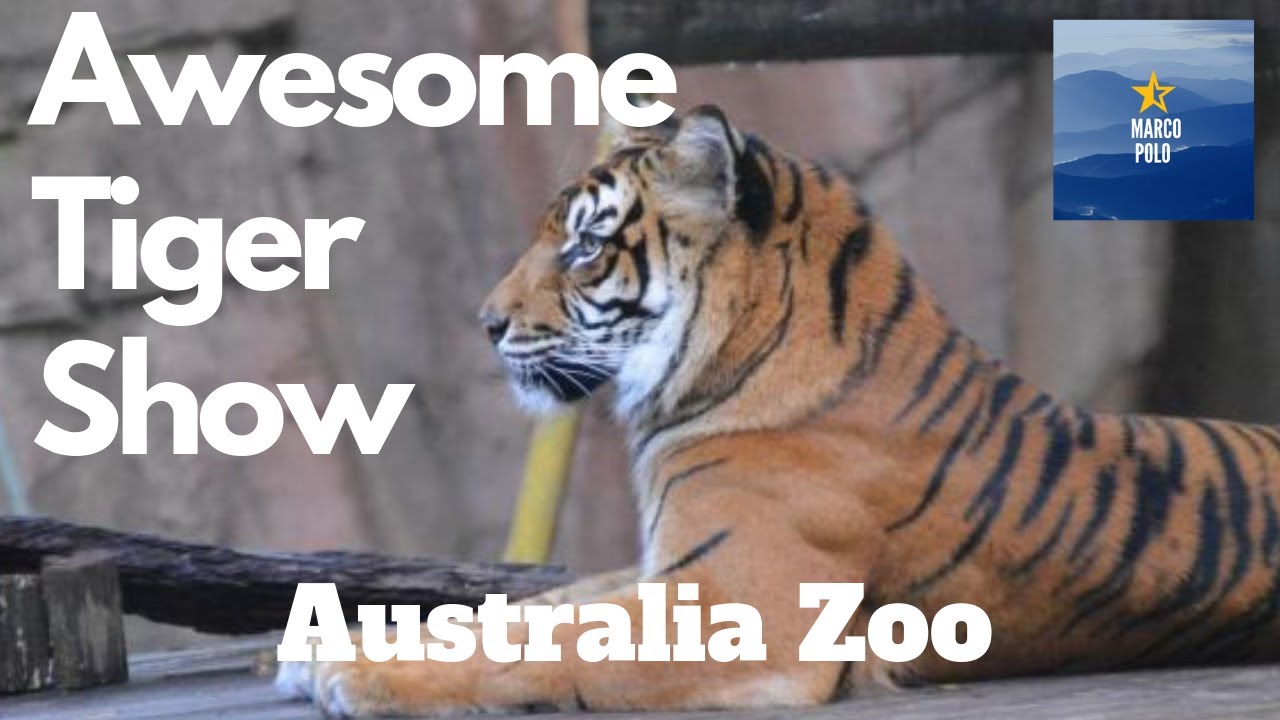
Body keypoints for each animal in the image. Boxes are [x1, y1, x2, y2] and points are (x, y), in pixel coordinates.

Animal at [277, 105, 1280, 716]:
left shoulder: (733, 601)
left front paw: (351, 670)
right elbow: (528, 606)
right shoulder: (663, 562)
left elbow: (540, 637)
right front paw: (321, 637)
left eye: (584, 249)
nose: (485, 323)